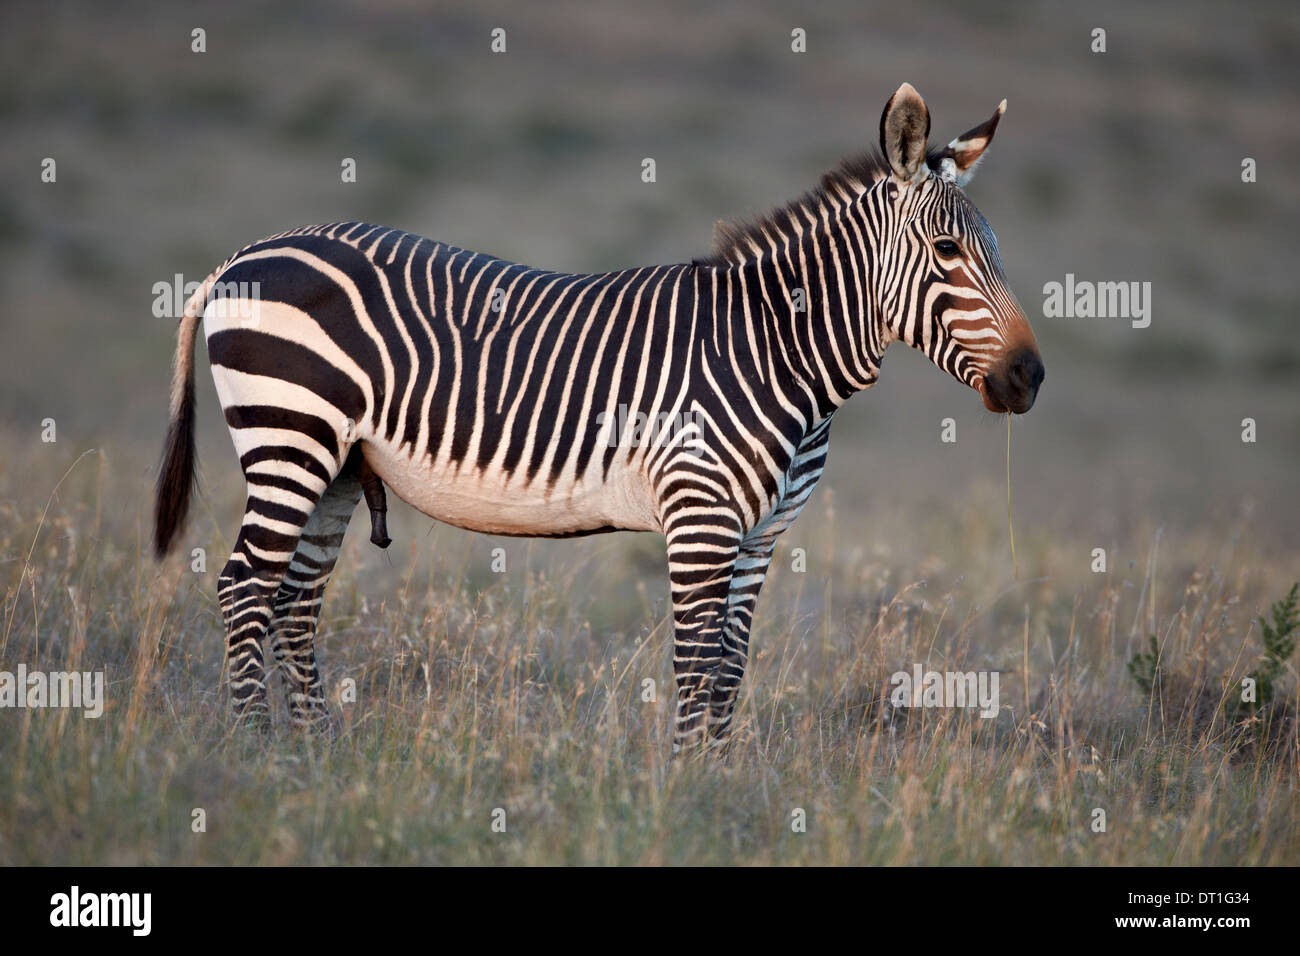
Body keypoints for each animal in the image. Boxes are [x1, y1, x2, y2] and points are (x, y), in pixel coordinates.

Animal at [154, 83, 1044, 755]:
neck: (773, 346)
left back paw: (312, 751)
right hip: (289, 435)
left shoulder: (760, 533)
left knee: (293, 599)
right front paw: (687, 789)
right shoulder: (700, 516)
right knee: (244, 588)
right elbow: (696, 662)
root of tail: (243, 255)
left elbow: (731, 665)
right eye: (947, 254)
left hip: (336, 464)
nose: (1030, 378)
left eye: (998, 251)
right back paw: (256, 749)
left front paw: (718, 781)